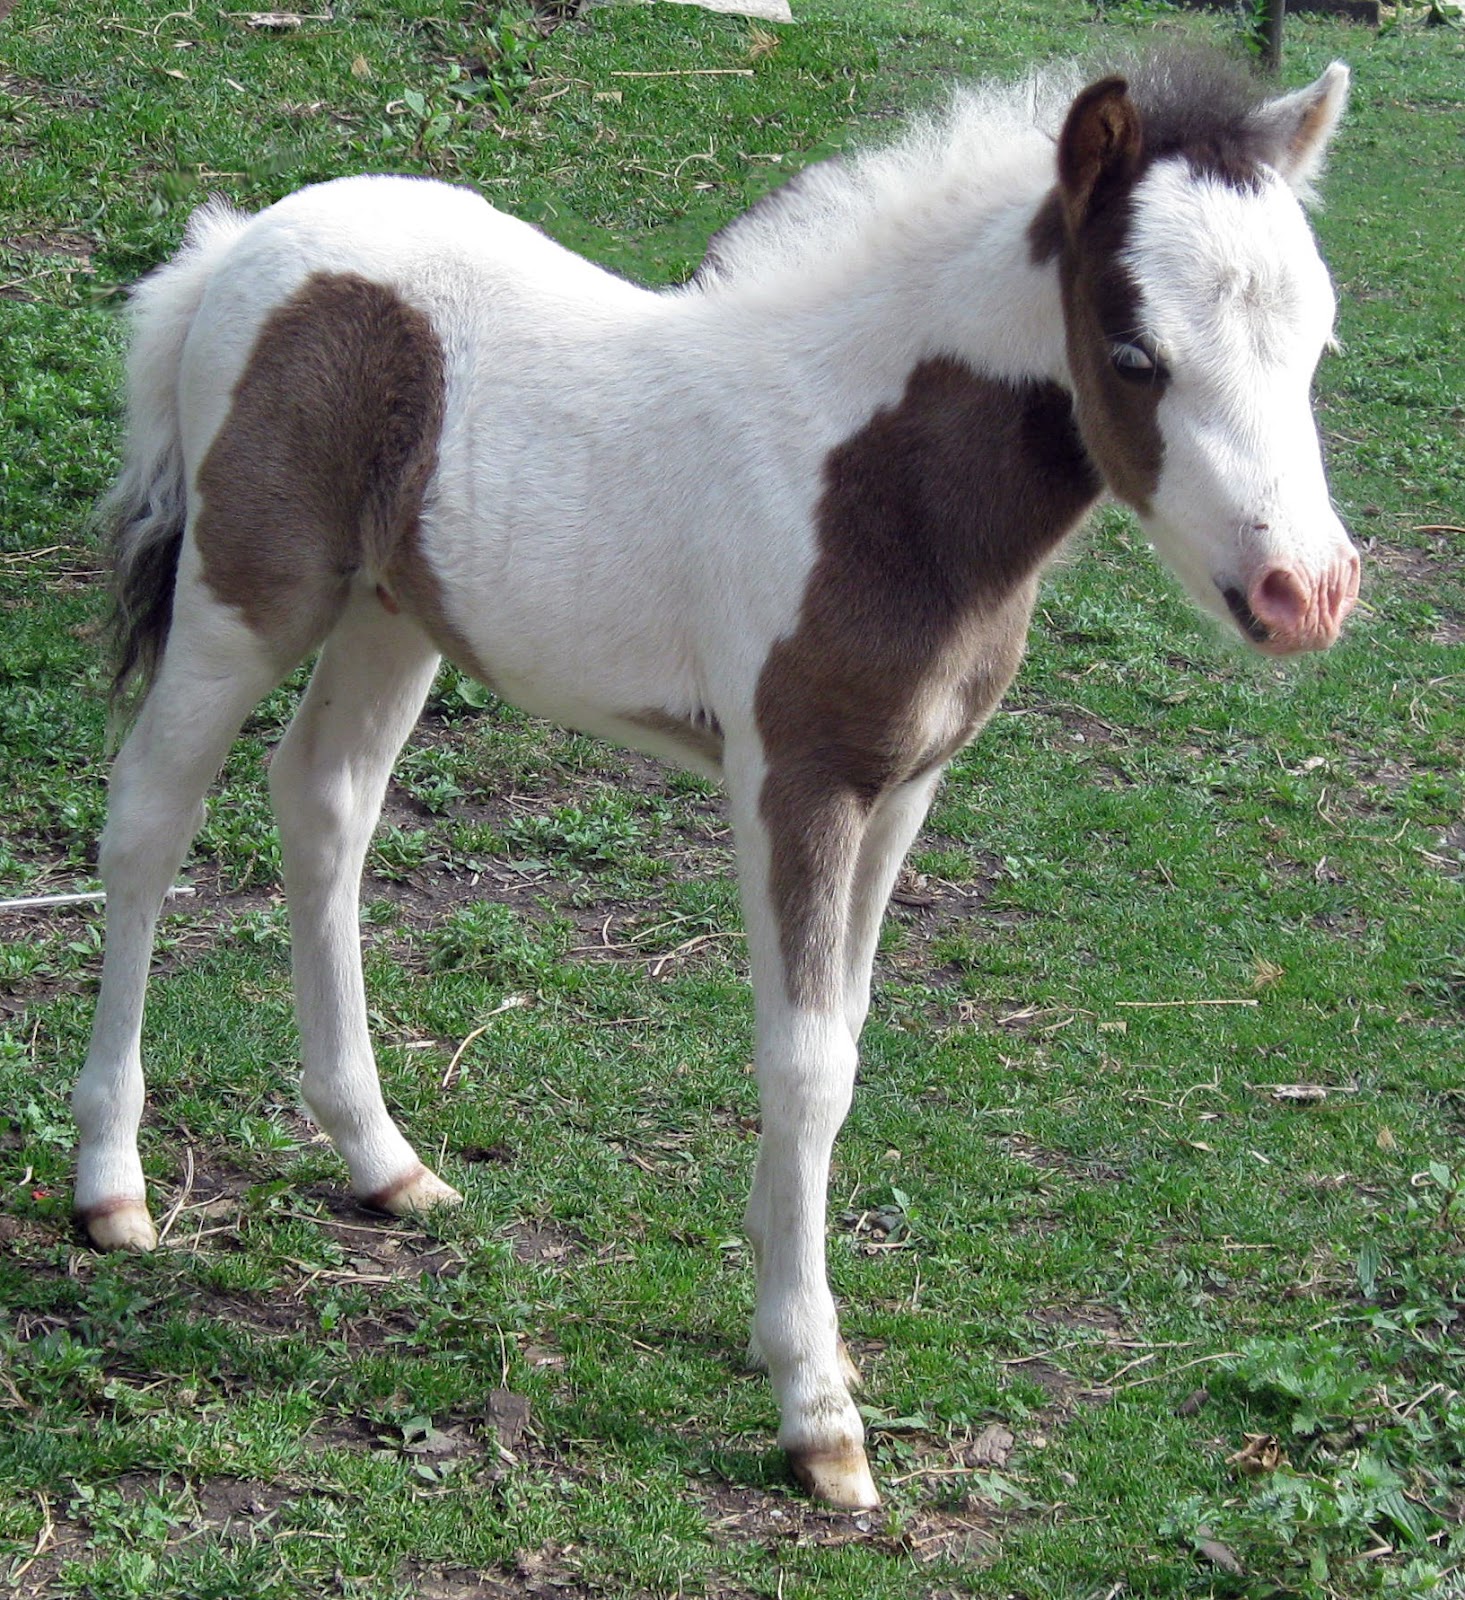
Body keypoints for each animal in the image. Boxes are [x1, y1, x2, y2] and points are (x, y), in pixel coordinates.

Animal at [72, 48, 1359, 1510]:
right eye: (1137, 354)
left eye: (1317, 343)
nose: (1305, 592)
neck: (874, 485)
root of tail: (238, 243)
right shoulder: (793, 779)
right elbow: (800, 1063)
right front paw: (818, 1414)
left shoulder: (903, 786)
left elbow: (844, 1038)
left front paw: (789, 1330)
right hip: (248, 596)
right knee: (150, 816)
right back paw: (111, 1184)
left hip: (394, 610)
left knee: (323, 802)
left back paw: (383, 1161)